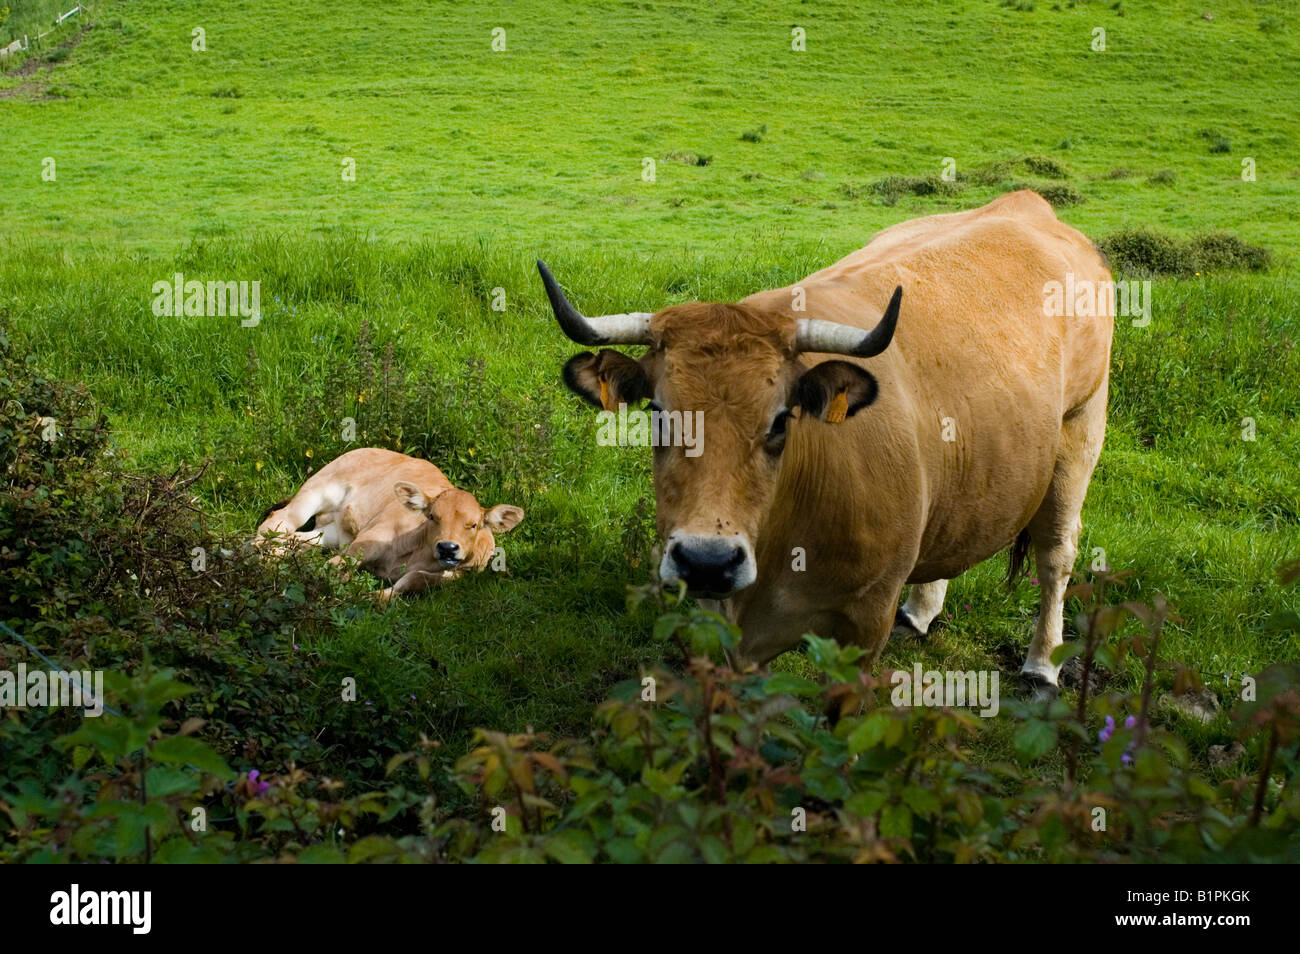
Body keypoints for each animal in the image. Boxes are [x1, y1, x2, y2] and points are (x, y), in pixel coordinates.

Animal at [255, 448, 524, 600]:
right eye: (432, 516)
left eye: (474, 524)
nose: (447, 547)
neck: (418, 553)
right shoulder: (371, 538)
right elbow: (334, 566)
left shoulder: (455, 576)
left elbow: (412, 581)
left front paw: (374, 597)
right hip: (317, 489)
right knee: (277, 523)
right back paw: (260, 560)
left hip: (332, 530)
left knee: (299, 539)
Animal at [540, 190, 1113, 694]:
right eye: (659, 415)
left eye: (780, 422)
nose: (707, 560)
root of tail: (1027, 205)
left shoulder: (865, 624)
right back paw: (922, 611)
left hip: (1080, 430)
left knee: (1056, 553)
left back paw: (1042, 664)